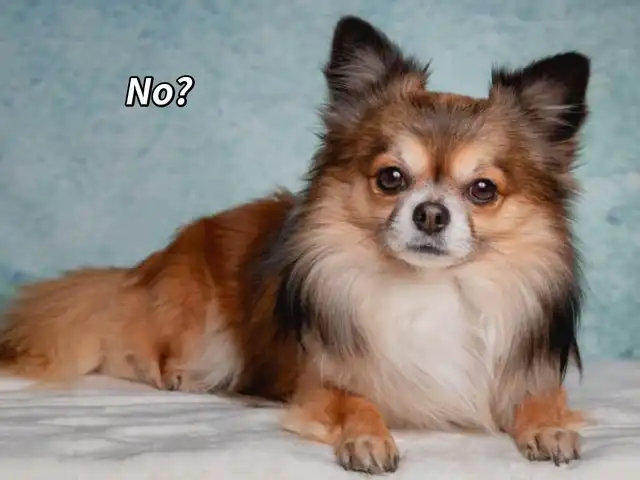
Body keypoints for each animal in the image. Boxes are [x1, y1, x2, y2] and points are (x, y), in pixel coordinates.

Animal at [0, 16, 589, 474]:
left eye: (482, 189)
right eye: (391, 178)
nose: (430, 213)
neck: (430, 289)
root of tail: (140, 268)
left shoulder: (521, 374)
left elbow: (542, 396)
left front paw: (549, 426)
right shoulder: (317, 384)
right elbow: (353, 401)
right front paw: (367, 436)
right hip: (192, 325)